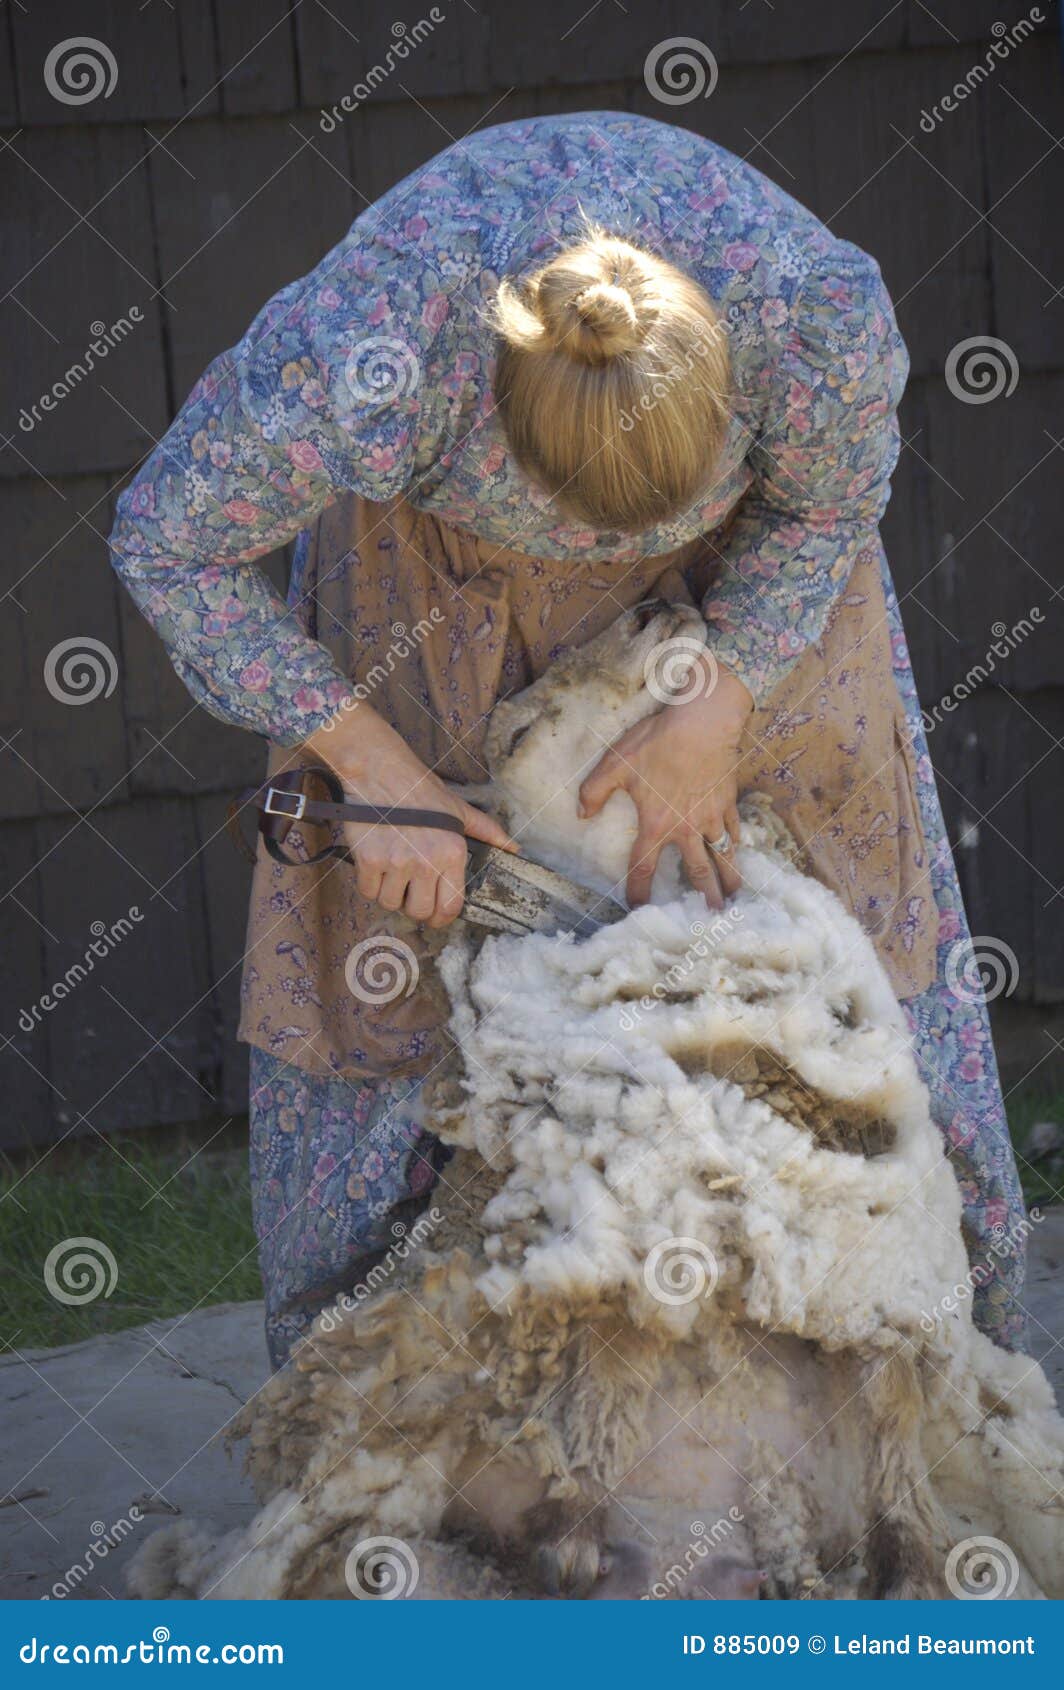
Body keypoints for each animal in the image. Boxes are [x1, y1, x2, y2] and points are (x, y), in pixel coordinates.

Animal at [129, 603, 1064, 1602]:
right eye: (517, 736)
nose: (659, 610)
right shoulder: (603, 1235)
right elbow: (609, 1348)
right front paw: (577, 1510)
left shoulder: (881, 1279)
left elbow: (890, 1419)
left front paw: (916, 1565)